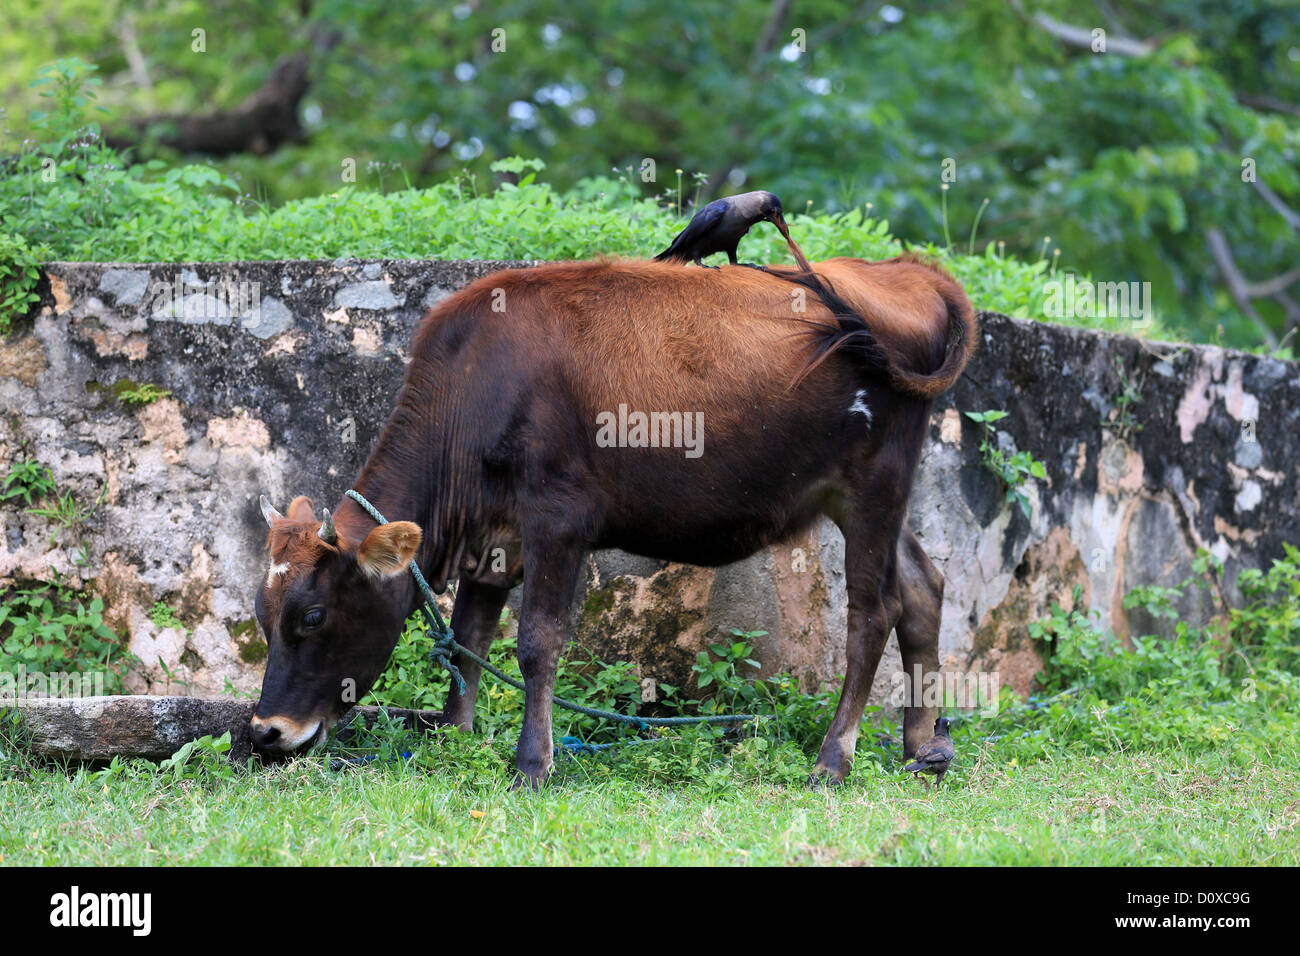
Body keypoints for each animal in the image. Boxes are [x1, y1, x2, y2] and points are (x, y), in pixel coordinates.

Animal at [250, 255, 976, 788]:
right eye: (262, 615)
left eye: (312, 617)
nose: (265, 733)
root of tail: (908, 270)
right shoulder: (496, 537)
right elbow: (470, 636)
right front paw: (455, 735)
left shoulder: (557, 519)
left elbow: (536, 642)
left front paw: (531, 765)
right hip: (852, 497)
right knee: (923, 589)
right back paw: (922, 747)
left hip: (875, 483)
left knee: (873, 613)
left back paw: (833, 760)